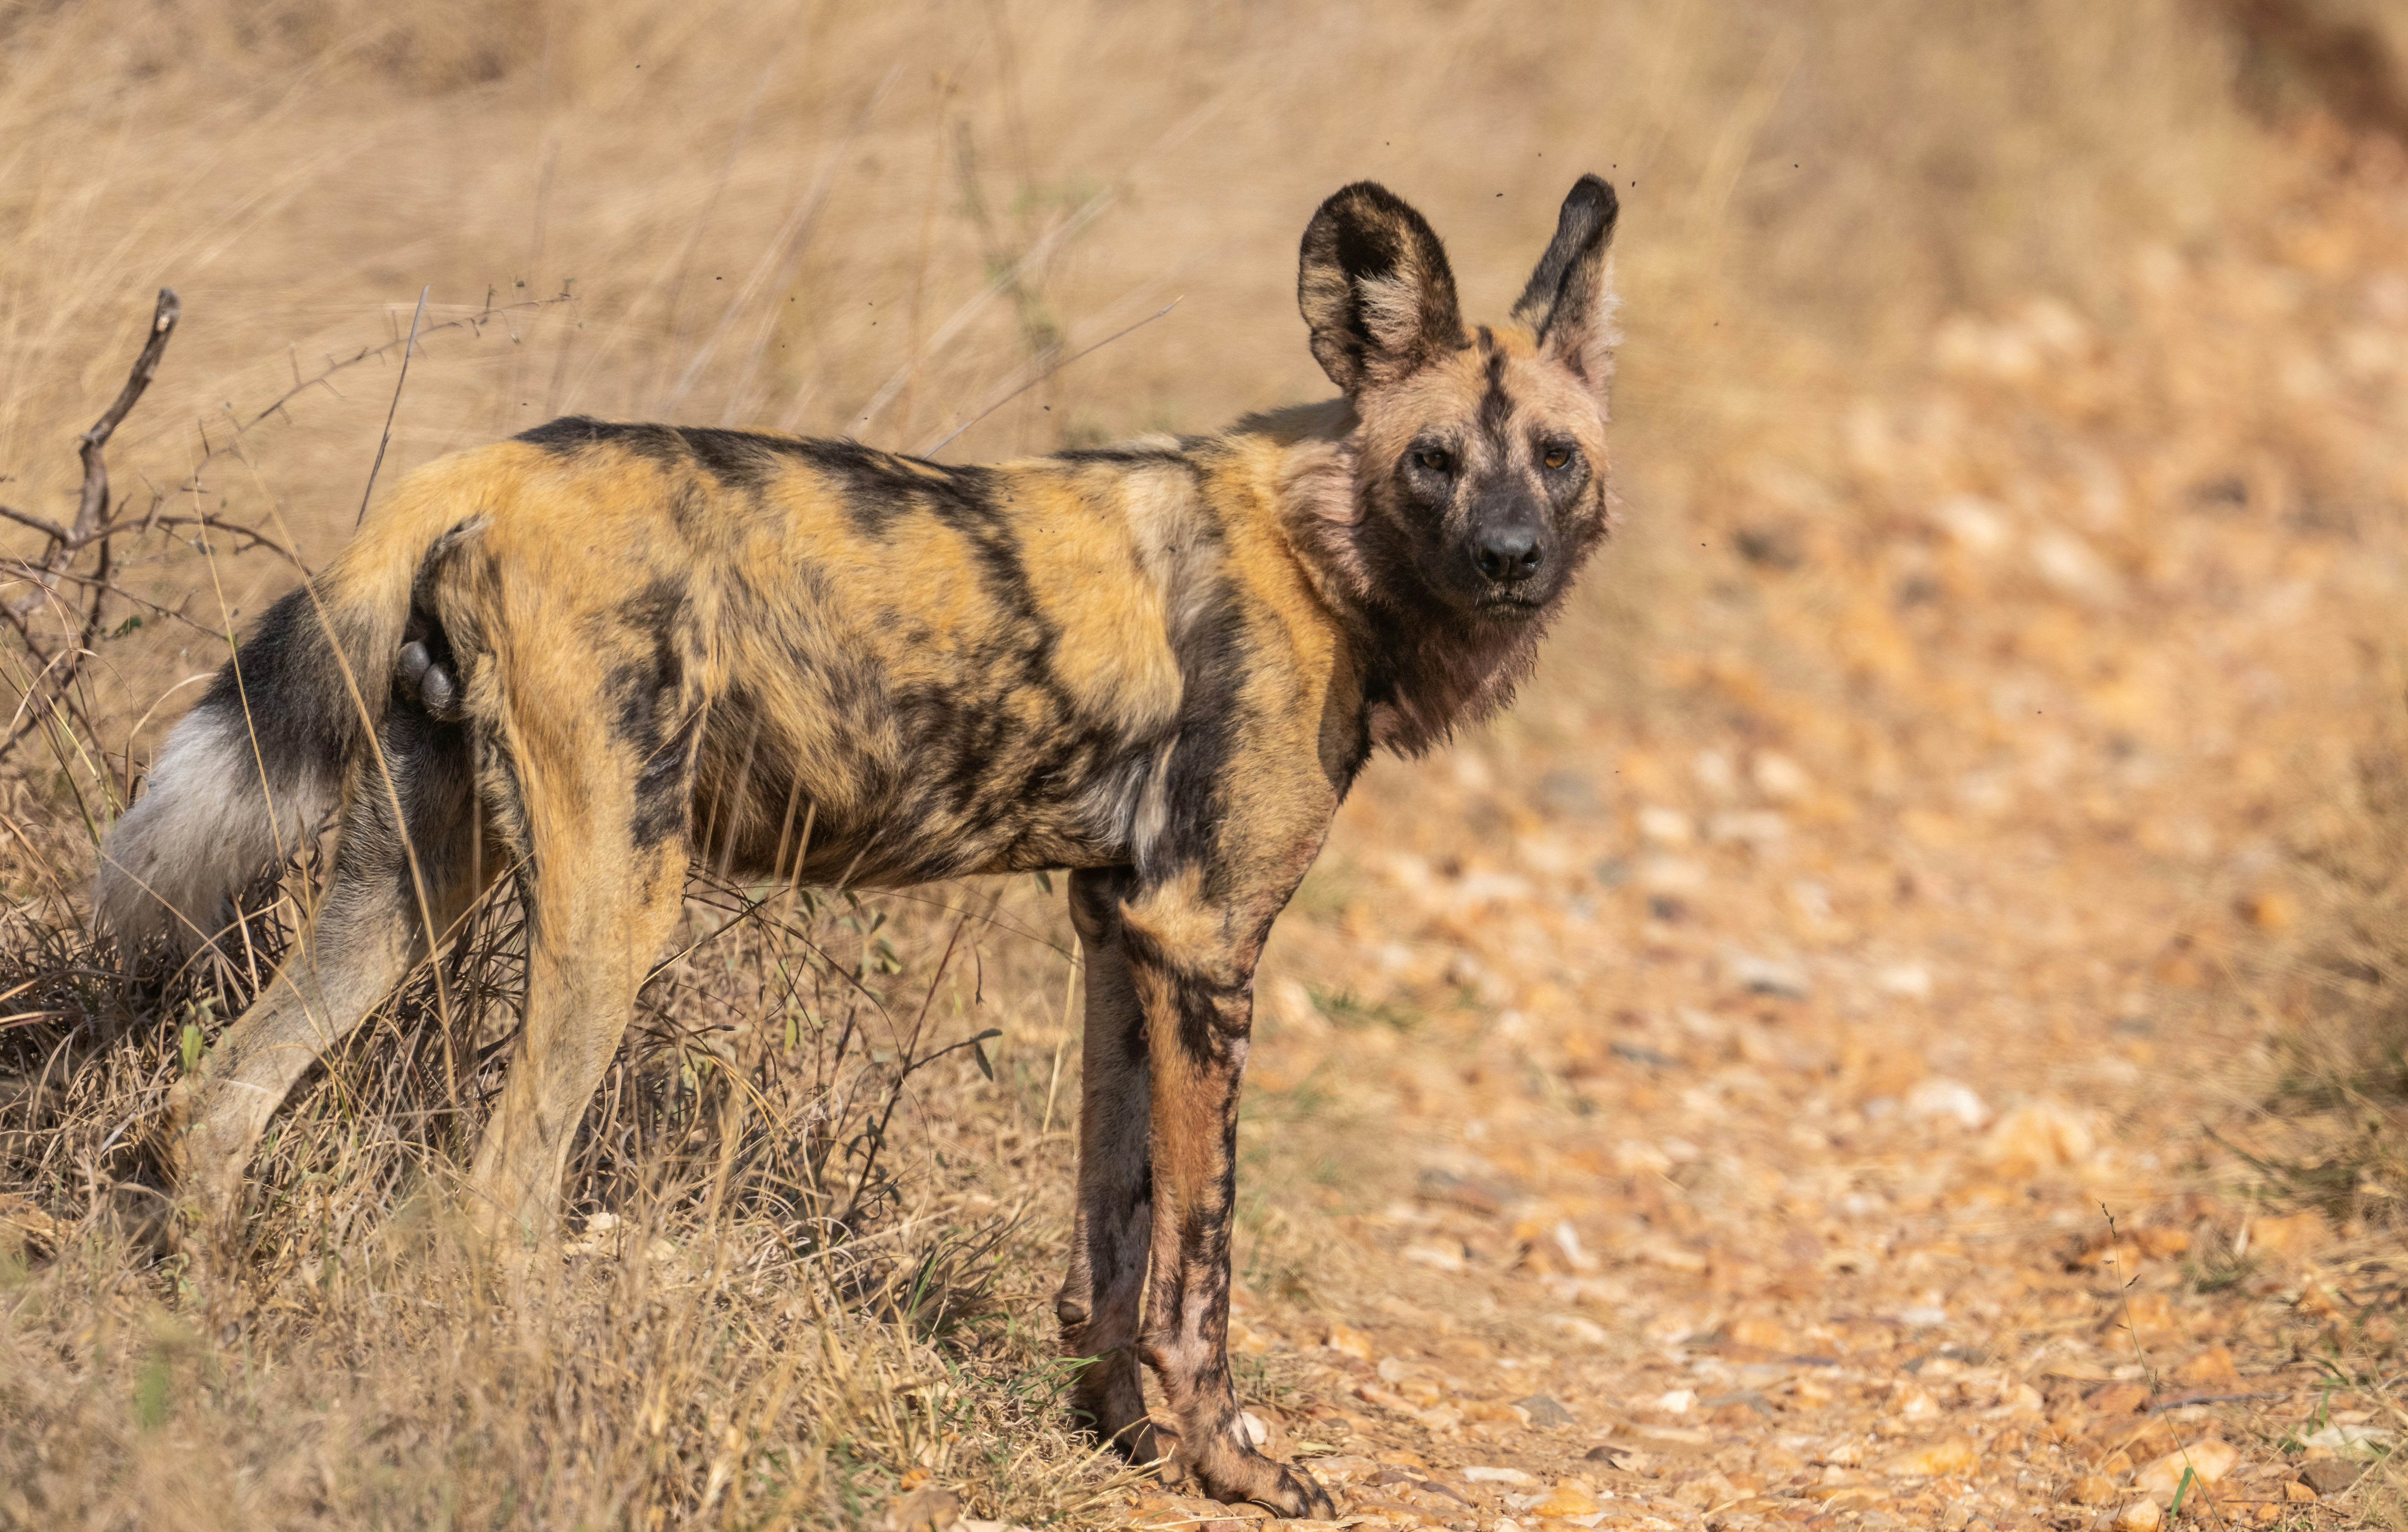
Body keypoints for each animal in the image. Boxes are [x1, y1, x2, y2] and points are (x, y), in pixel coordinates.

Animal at [98, 174, 1621, 1513]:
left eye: (1555, 458)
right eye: (1433, 461)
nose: (1509, 558)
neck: (1324, 540)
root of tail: (499, 463)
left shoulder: (1122, 931)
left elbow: (1115, 1230)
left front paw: (1121, 1433)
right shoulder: (1205, 944)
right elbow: (1198, 1265)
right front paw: (1224, 1461)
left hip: (402, 885)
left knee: (218, 1104)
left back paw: (203, 1340)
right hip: (612, 907)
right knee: (495, 1192)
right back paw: (540, 1396)